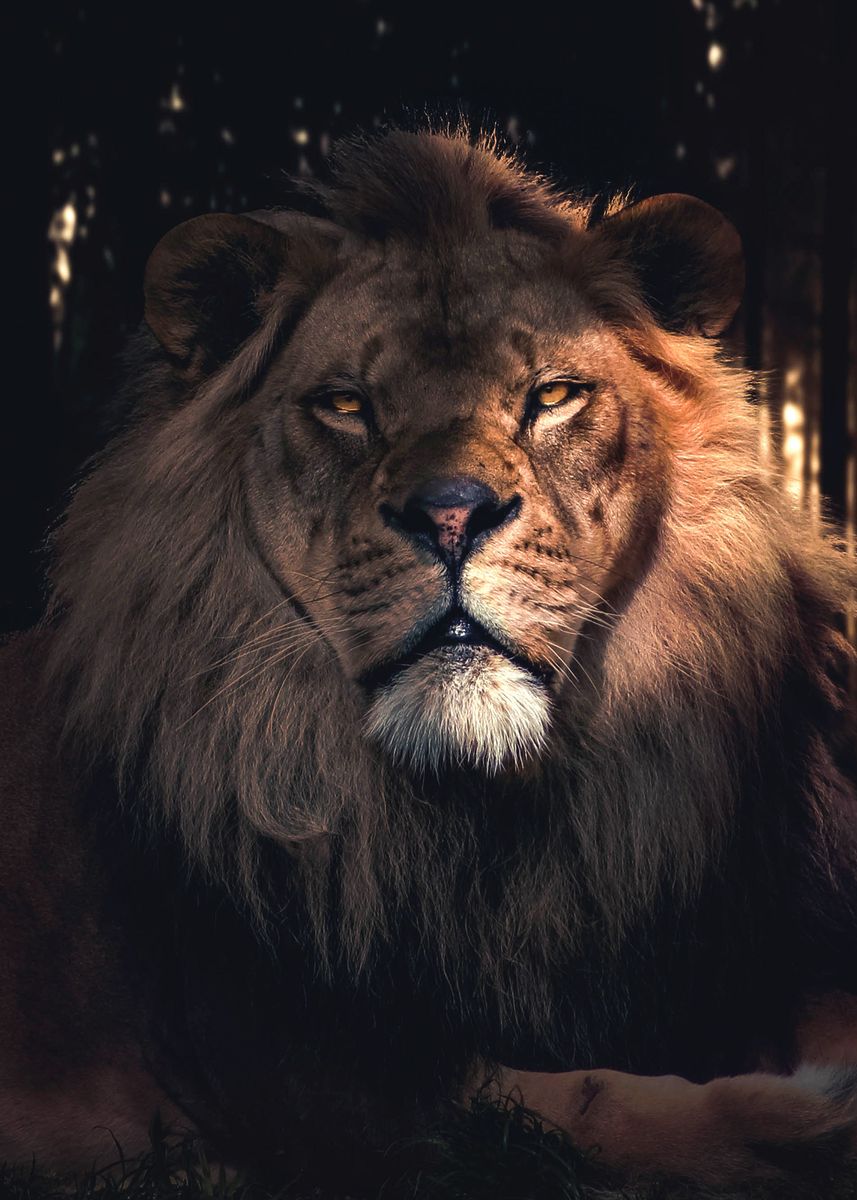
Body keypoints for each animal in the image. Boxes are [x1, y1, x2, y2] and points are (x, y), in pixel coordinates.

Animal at [1, 125, 856, 1192]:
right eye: (344, 405)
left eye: (553, 397)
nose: (450, 514)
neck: (481, 818)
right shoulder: (327, 1097)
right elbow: (580, 1105)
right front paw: (807, 1118)